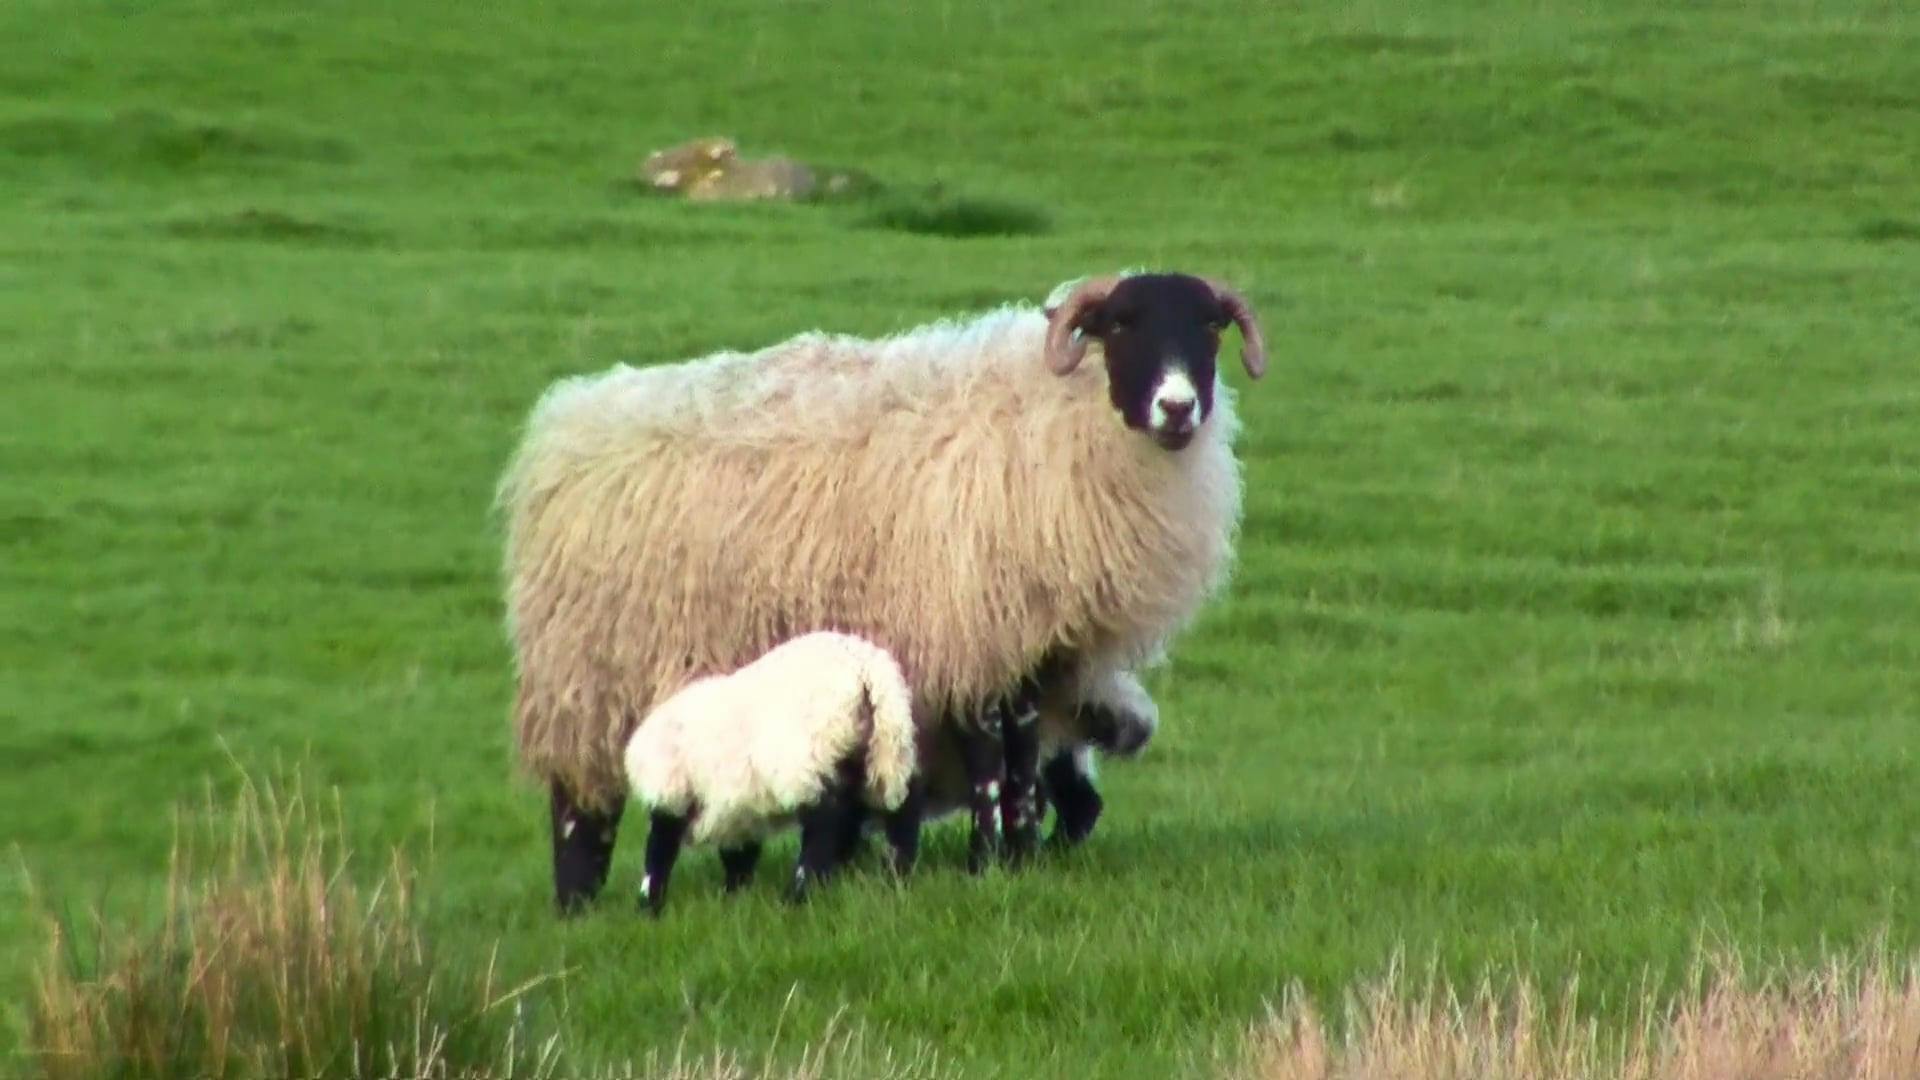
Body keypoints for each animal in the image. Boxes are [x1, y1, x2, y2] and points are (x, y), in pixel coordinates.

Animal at [623, 630, 922, 913]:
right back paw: (895, 873)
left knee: (828, 822)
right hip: (886, 746)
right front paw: (734, 897)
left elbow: (658, 851)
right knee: (898, 807)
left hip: (814, 754)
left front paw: (649, 905)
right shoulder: (737, 807)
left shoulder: (671, 792)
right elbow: (738, 853)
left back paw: (798, 894)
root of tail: (867, 666)